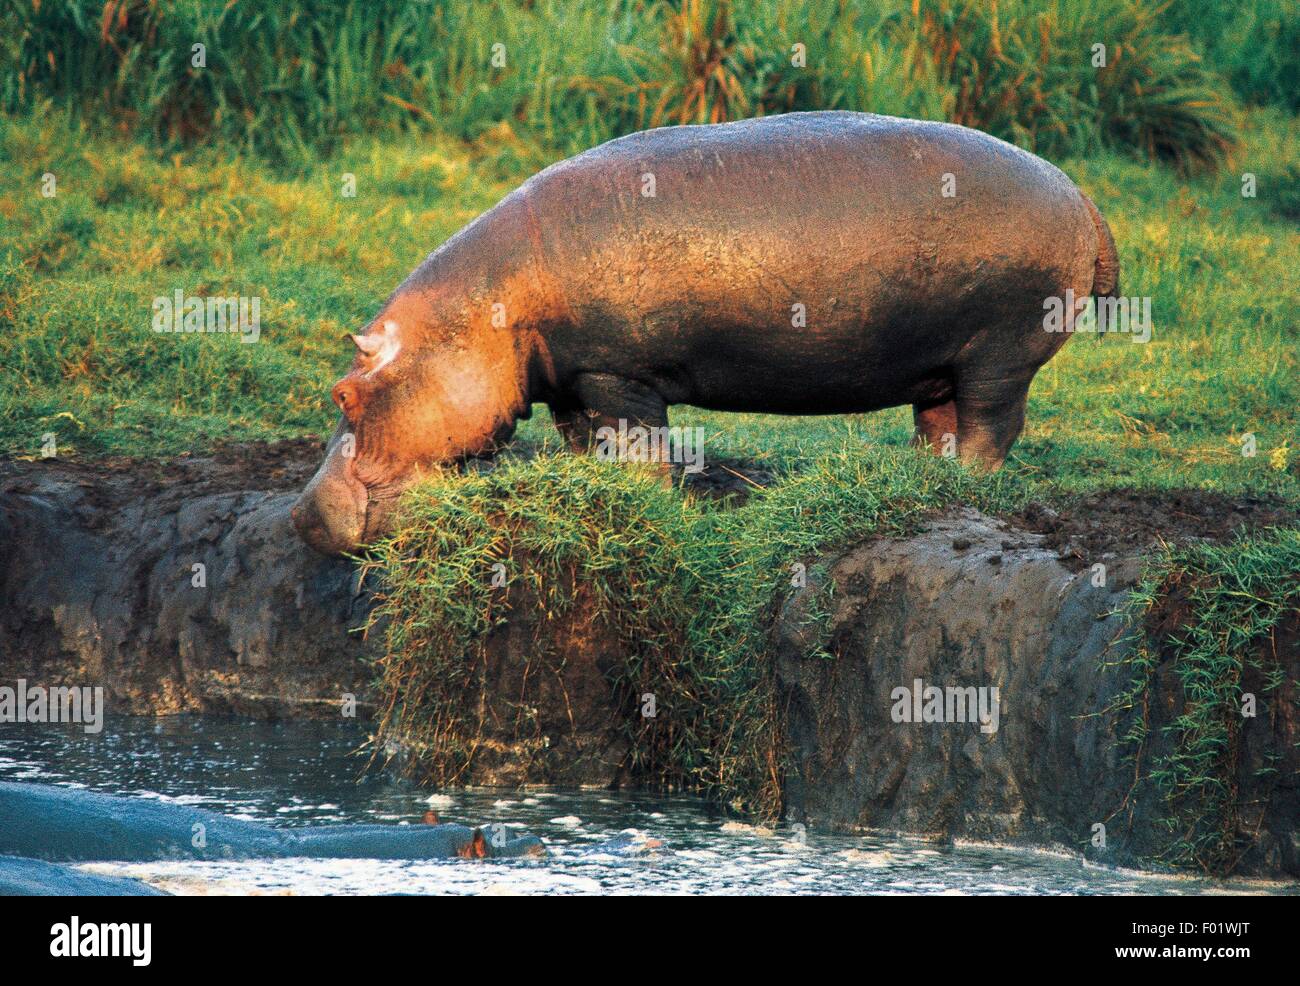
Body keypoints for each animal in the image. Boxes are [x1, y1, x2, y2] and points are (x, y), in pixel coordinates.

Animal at [293, 111, 1118, 554]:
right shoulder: (568, 378)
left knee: (991, 427)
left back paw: (966, 485)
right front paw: (588, 485)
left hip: (1000, 352)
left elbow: (637, 443)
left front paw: (641, 497)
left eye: (343, 393)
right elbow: (578, 438)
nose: (300, 515)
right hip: (942, 362)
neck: (487, 307)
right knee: (939, 423)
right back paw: (922, 480)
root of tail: (1080, 191)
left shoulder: (618, 372)